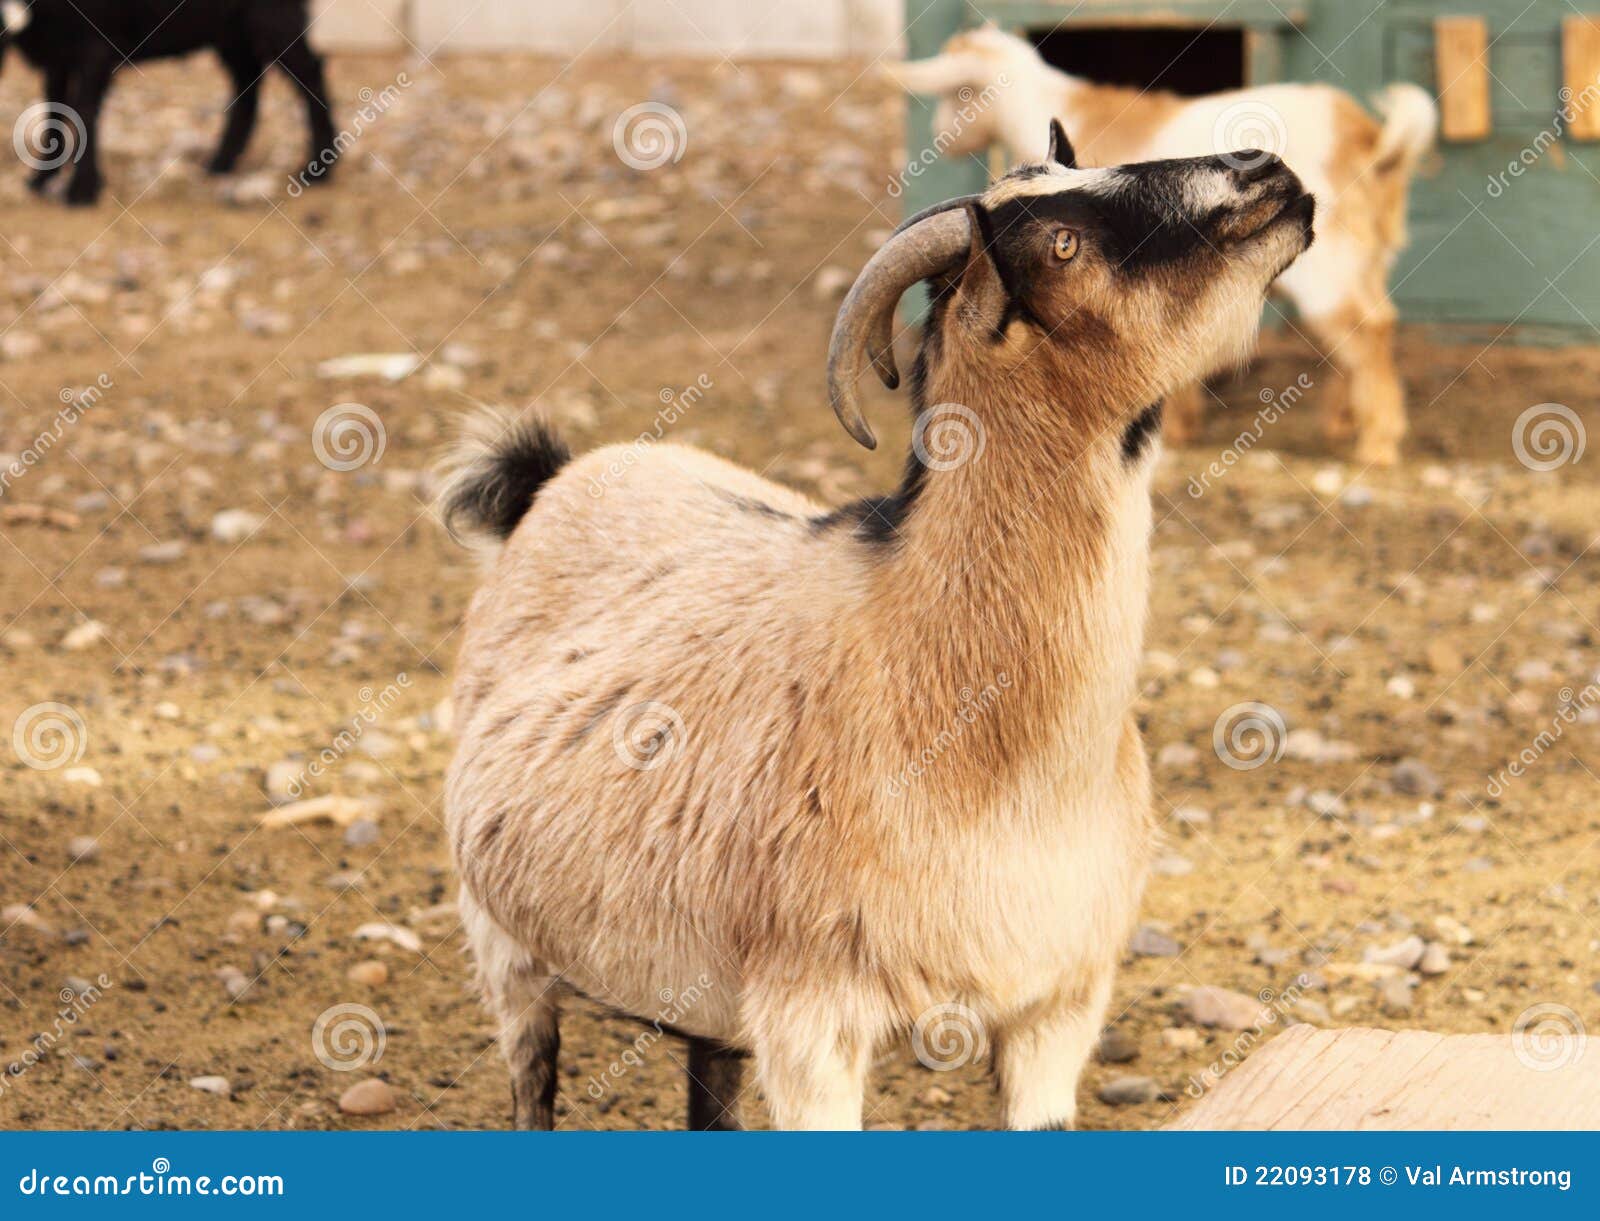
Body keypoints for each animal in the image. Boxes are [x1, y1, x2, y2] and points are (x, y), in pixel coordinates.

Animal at [0, 0, 334, 205]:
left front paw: (81, 192)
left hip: (274, 17)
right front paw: (40, 181)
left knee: (311, 75)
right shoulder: (58, 53)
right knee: (248, 85)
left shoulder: (93, 49)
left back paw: (318, 169)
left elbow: (83, 111)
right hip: (229, 31)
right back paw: (219, 164)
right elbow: (54, 111)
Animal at [437, 124, 1314, 1130]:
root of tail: (556, 479)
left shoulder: (1059, 1006)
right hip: (503, 943)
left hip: (703, 999)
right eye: (1061, 243)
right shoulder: (811, 1019)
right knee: (530, 1073)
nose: (1262, 168)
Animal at [885, 24, 1437, 466]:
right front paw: (1180, 425)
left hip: (1329, 264)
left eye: (961, 93)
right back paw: (1343, 422)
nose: (941, 136)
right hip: (1370, 254)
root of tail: (1370, 140)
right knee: (1372, 321)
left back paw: (1378, 444)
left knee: (1365, 327)